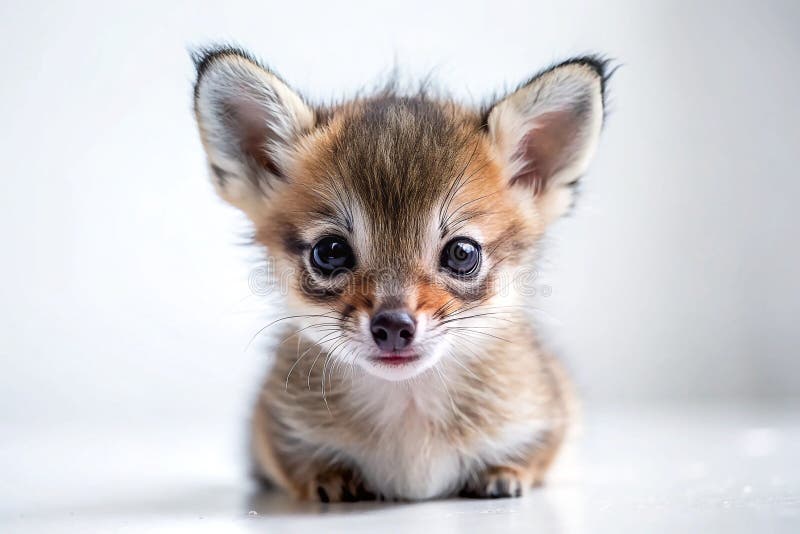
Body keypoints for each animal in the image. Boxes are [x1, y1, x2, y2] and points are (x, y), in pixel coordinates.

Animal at [192, 46, 608, 502]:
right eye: (330, 252)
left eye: (462, 253)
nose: (393, 325)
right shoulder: (276, 431)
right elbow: (300, 464)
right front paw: (329, 478)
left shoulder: (549, 416)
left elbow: (536, 453)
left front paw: (504, 472)